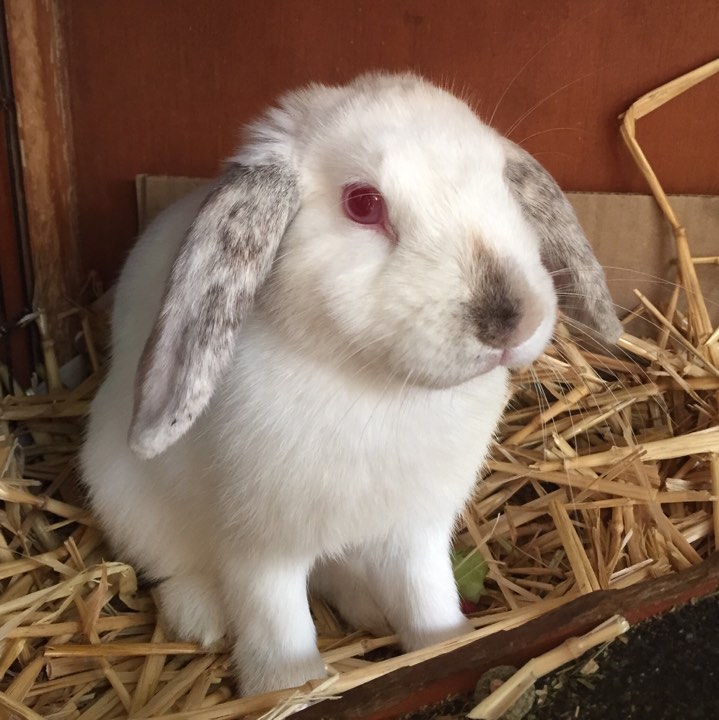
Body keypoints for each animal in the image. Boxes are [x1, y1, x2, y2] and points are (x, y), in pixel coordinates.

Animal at [80, 72, 621, 696]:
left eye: (501, 184)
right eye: (363, 204)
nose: (511, 318)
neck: (375, 387)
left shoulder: (417, 534)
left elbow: (428, 602)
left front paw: (449, 644)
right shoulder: (260, 551)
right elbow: (279, 627)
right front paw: (287, 688)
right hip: (126, 503)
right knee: (174, 568)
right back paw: (202, 619)